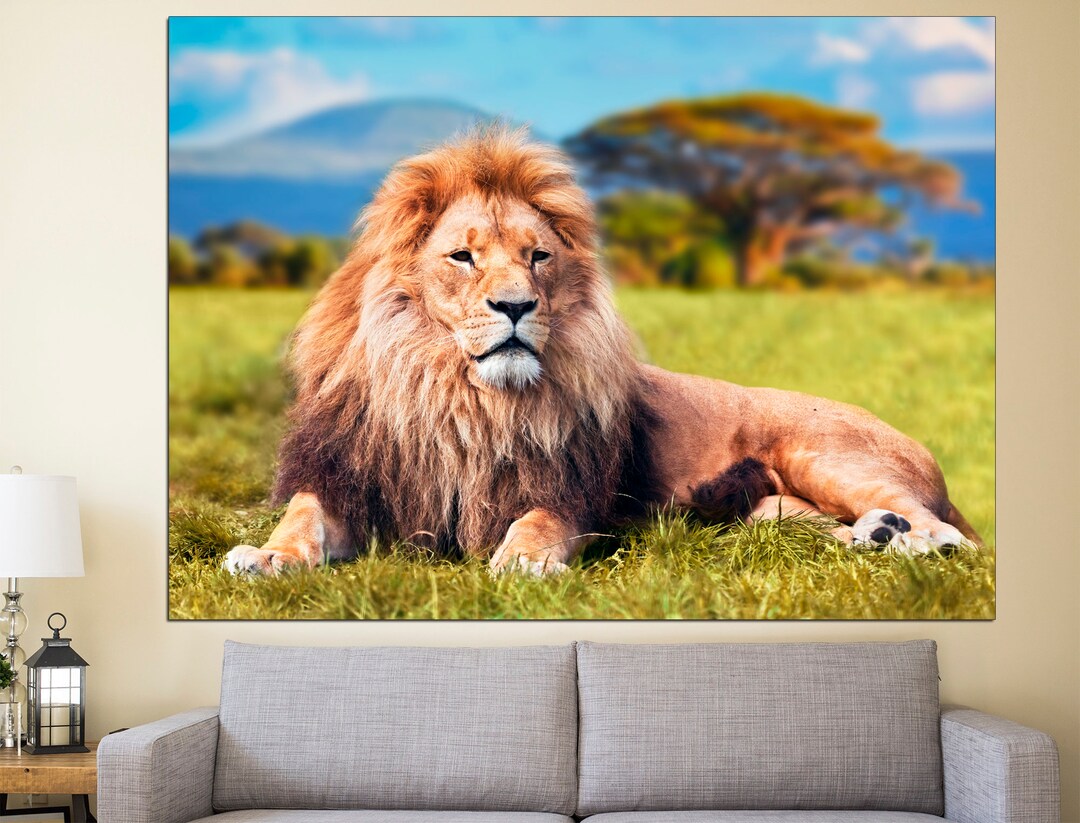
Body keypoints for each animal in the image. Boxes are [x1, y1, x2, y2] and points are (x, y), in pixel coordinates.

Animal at [224, 128, 981, 577]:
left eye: (537, 257)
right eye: (463, 257)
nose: (516, 307)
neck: (458, 397)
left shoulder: (567, 493)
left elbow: (536, 524)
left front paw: (523, 564)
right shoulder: (347, 478)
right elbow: (302, 518)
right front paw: (264, 556)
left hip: (825, 454)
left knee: (951, 532)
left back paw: (918, 541)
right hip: (770, 511)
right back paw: (876, 537)